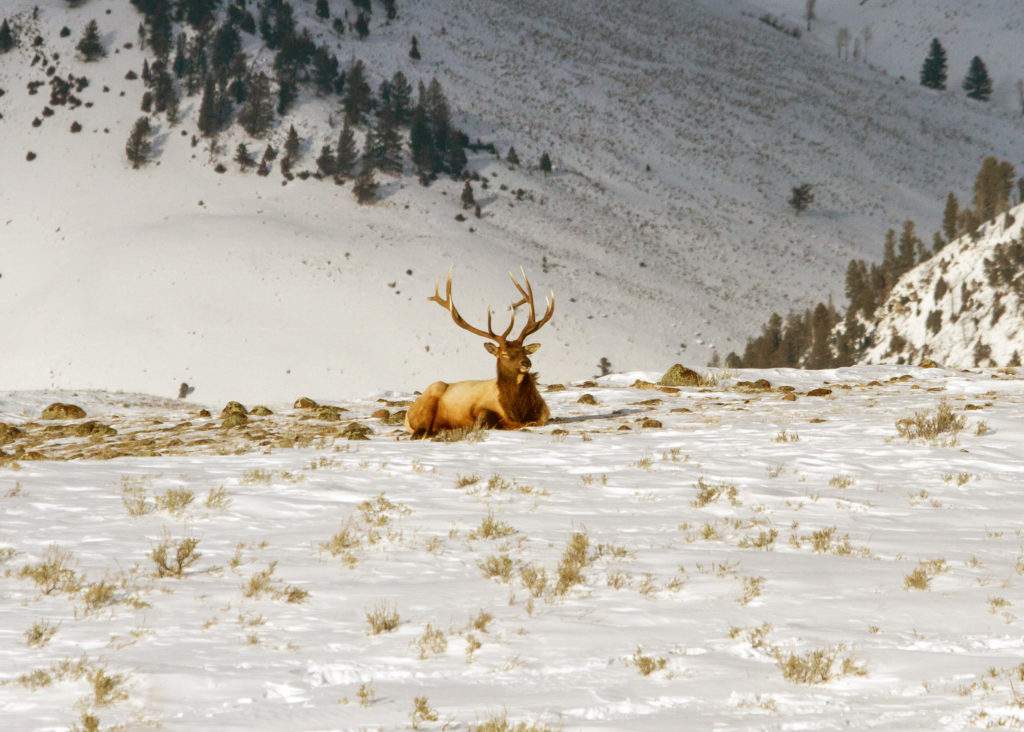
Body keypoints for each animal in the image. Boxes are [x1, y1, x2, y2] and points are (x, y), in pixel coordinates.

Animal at [404, 268, 555, 438]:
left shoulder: (543, 415)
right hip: (432, 393)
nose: (526, 363)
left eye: (525, 352)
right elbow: (484, 421)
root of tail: (408, 413)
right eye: (504, 354)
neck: (518, 412)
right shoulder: (478, 408)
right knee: (420, 430)